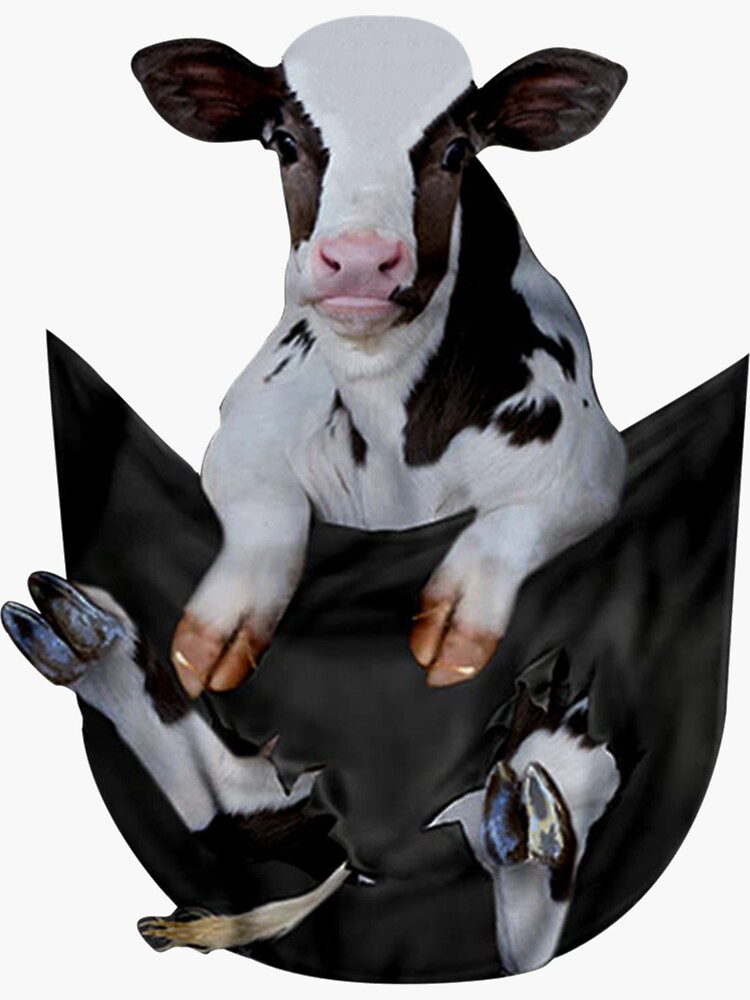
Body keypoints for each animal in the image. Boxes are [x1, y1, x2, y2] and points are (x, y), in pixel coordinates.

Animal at [130, 15, 627, 697]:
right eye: (283, 142)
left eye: (457, 150)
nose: (360, 259)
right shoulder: (248, 427)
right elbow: (267, 511)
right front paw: (214, 633)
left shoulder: (589, 463)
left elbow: (511, 525)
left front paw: (459, 628)